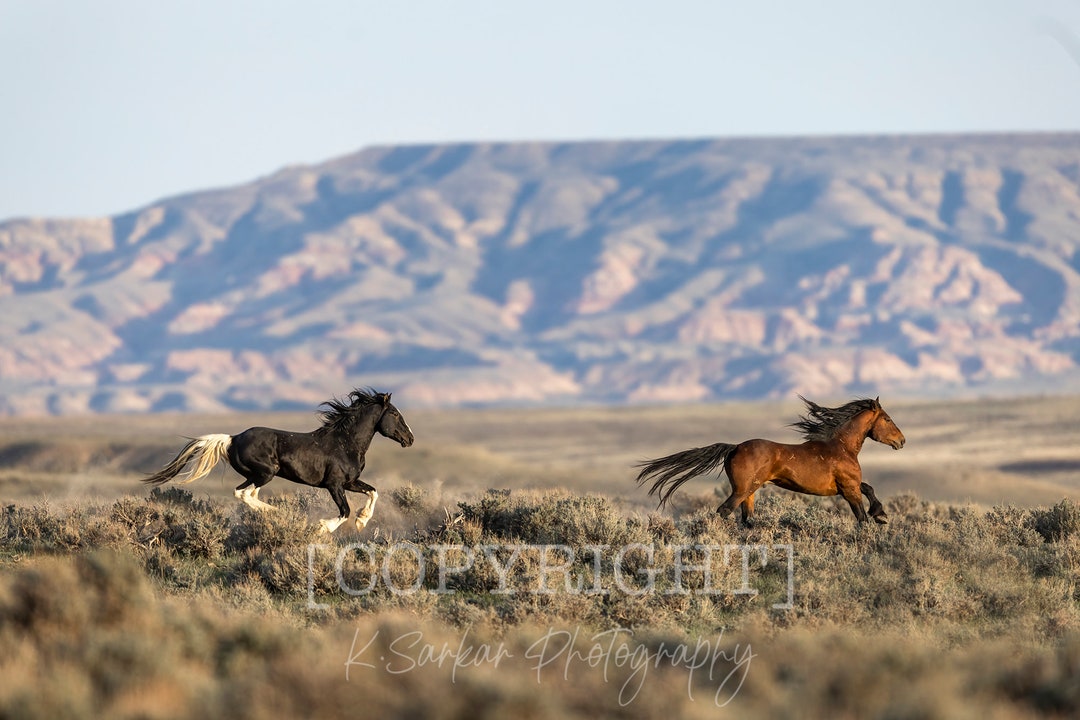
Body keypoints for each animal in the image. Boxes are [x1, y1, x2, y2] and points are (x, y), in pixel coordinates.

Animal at [143, 388, 414, 533]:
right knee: (243, 493)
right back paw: (278, 513)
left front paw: (362, 521)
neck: (345, 442)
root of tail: (232, 438)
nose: (410, 439)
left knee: (249, 494)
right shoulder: (334, 484)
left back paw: (274, 514)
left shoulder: (350, 482)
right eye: (394, 414)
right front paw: (323, 527)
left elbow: (373, 492)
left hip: (260, 474)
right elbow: (344, 511)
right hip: (265, 472)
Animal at [635, 396, 905, 525]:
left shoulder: (848, 486)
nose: (901, 441)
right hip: (742, 490)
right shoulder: (848, 488)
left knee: (746, 519)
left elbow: (869, 488)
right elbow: (861, 515)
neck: (841, 447)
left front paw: (880, 514)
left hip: (750, 492)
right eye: (888, 419)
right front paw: (878, 516)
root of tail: (734, 448)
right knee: (724, 511)